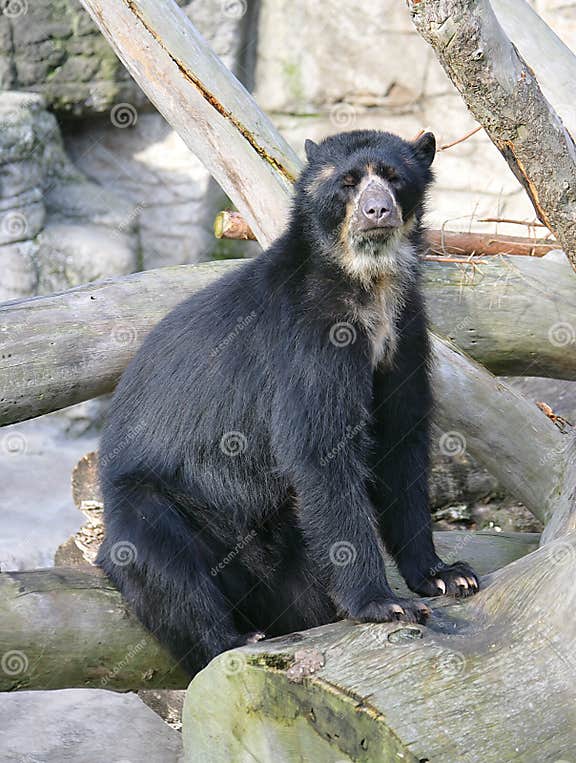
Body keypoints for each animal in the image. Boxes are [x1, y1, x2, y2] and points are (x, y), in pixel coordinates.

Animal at [97, 129, 479, 677]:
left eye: (394, 177)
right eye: (348, 183)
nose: (377, 211)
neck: (368, 284)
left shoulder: (403, 335)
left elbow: (401, 442)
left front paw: (447, 576)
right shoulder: (309, 343)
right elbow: (318, 449)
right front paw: (386, 604)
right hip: (157, 503)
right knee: (161, 567)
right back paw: (235, 636)